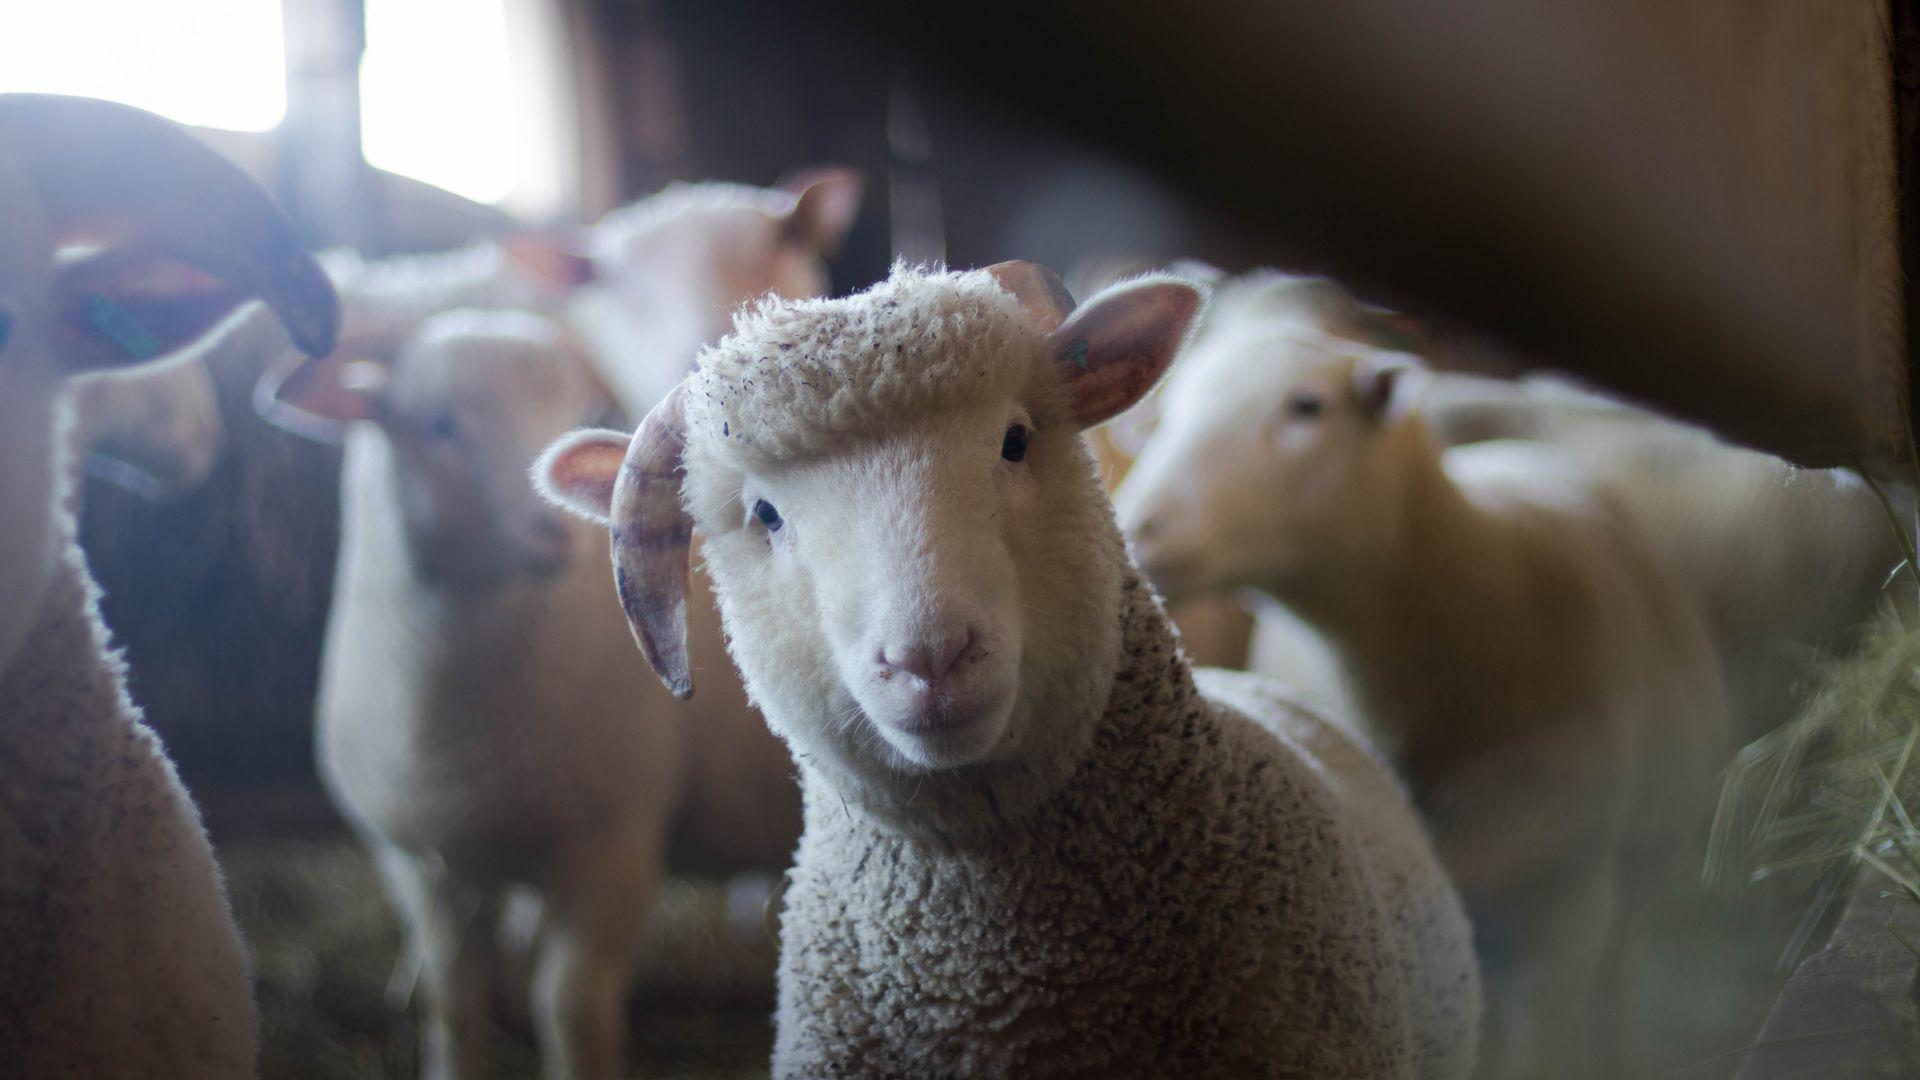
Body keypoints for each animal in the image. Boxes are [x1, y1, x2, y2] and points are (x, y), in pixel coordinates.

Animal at [258, 309, 798, 1080]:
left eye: (578, 411)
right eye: (440, 425)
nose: (556, 529)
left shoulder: (614, 842)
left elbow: (569, 1004)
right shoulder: (422, 865)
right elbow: (453, 1001)